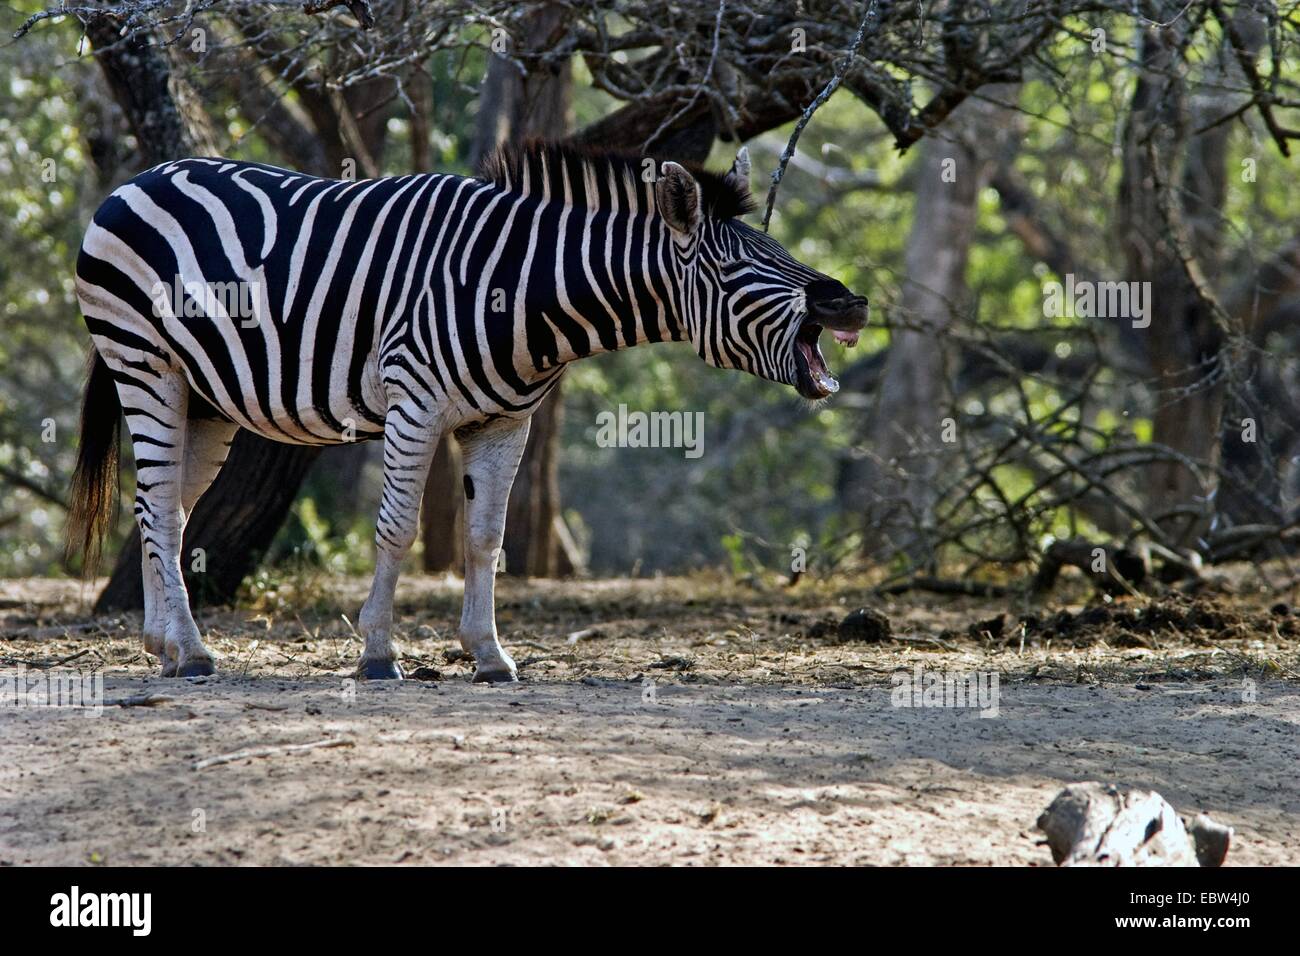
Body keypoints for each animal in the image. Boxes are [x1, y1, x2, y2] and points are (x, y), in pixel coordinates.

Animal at [67, 142, 869, 682]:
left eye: (779, 248)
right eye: (738, 268)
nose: (853, 302)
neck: (525, 292)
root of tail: (140, 178)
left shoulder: (506, 422)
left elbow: (486, 538)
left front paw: (489, 654)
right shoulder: (415, 401)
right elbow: (397, 530)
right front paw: (378, 652)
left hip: (204, 398)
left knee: (161, 508)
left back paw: (164, 646)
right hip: (145, 362)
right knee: (160, 506)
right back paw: (193, 651)